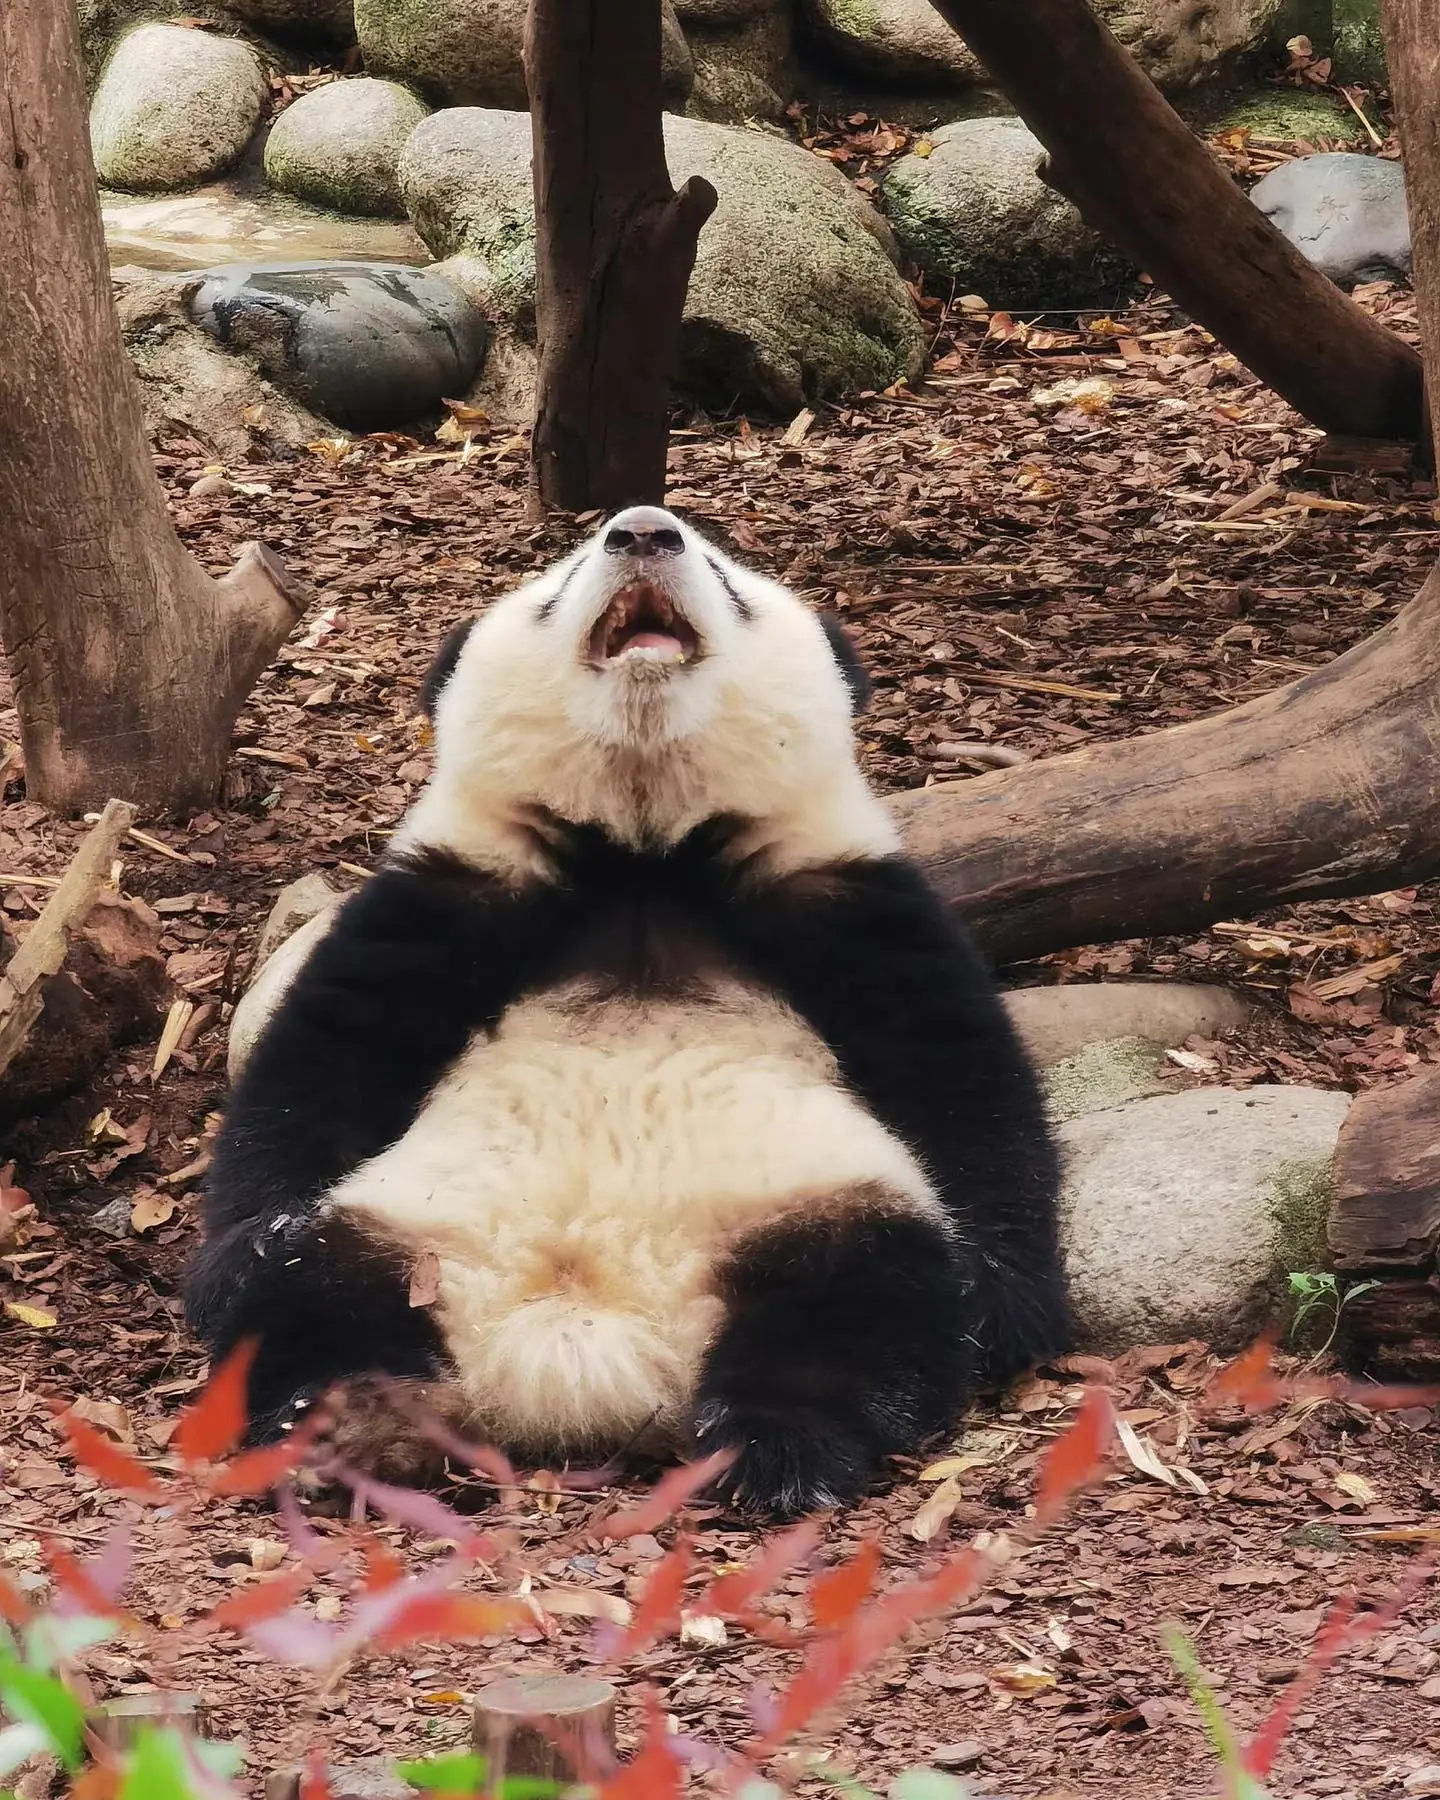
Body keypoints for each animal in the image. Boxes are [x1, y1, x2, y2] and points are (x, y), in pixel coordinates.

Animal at [186, 505, 1069, 1519]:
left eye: (725, 577)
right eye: (560, 583)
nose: (644, 532)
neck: (644, 852)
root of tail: (587, 1344)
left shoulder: (832, 892)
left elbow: (958, 1079)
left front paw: (1004, 1304)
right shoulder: (461, 893)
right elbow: (322, 1065)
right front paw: (233, 1257)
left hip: (808, 1200)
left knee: (860, 1302)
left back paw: (777, 1448)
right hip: (403, 1226)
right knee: (318, 1297)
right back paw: (351, 1426)